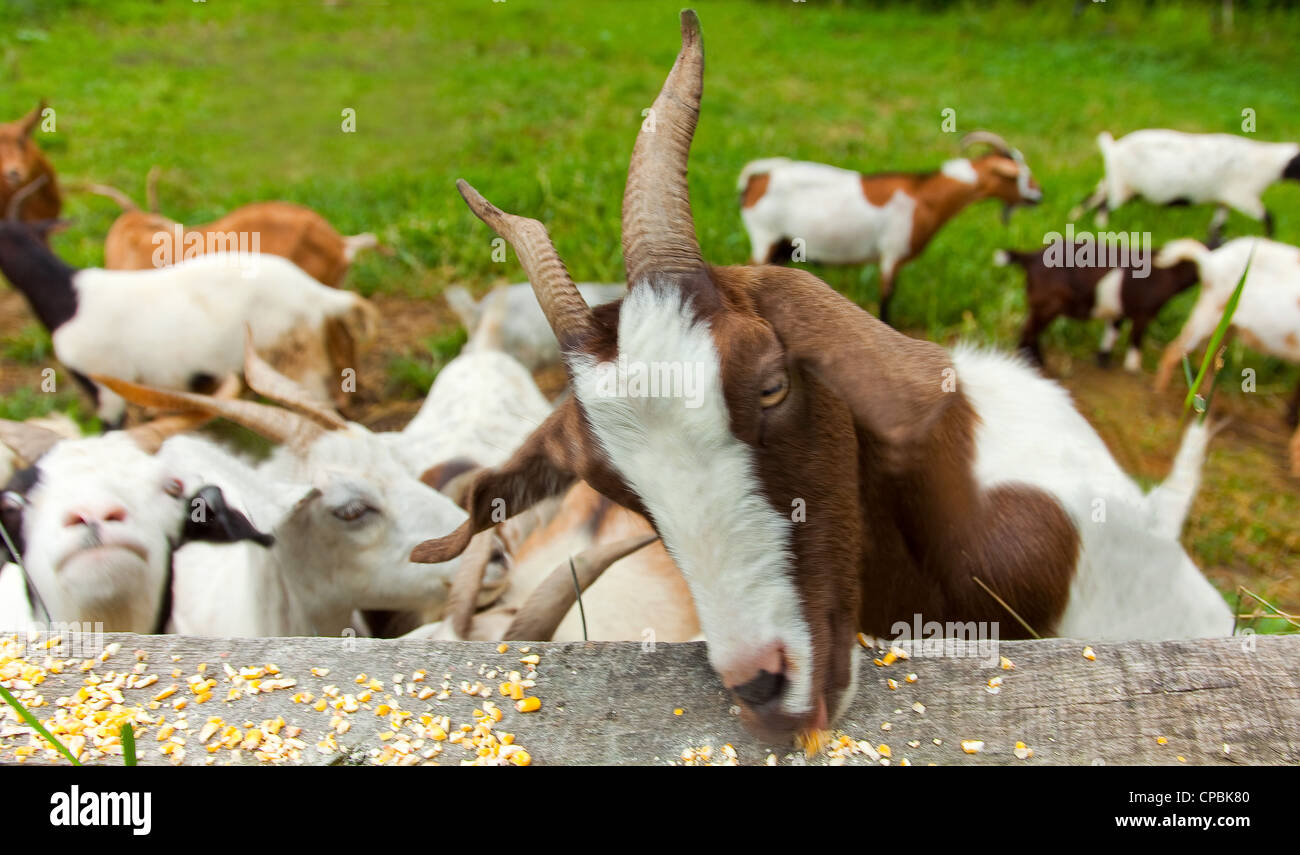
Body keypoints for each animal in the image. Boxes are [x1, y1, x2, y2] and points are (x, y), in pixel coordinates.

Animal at [738, 131, 1041, 324]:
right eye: (1018, 176)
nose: (1038, 196)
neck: (923, 196)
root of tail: (756, 181)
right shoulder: (892, 254)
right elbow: (886, 297)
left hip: (783, 245)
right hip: (764, 236)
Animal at [993, 241, 1200, 371]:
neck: (1169, 269)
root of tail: (1032, 256)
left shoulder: (1119, 311)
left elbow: (1112, 332)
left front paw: (1103, 360)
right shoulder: (1144, 312)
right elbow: (1135, 339)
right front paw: (1133, 368)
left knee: (1029, 326)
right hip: (1049, 304)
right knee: (1029, 329)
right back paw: (1033, 361)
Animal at [1070, 130, 1300, 240]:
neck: (1268, 163)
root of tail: (1113, 148)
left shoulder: (1223, 200)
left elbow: (1216, 228)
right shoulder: (1242, 195)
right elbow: (1269, 216)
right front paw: (1270, 239)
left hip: (1116, 180)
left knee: (1095, 196)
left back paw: (1075, 217)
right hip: (1123, 186)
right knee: (1104, 205)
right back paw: (1102, 228)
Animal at [1152, 236, 1300, 474]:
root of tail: (1211, 261)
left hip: (1226, 325)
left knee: (1207, 358)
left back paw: (1210, 410)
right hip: (1209, 312)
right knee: (1175, 350)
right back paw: (1160, 396)